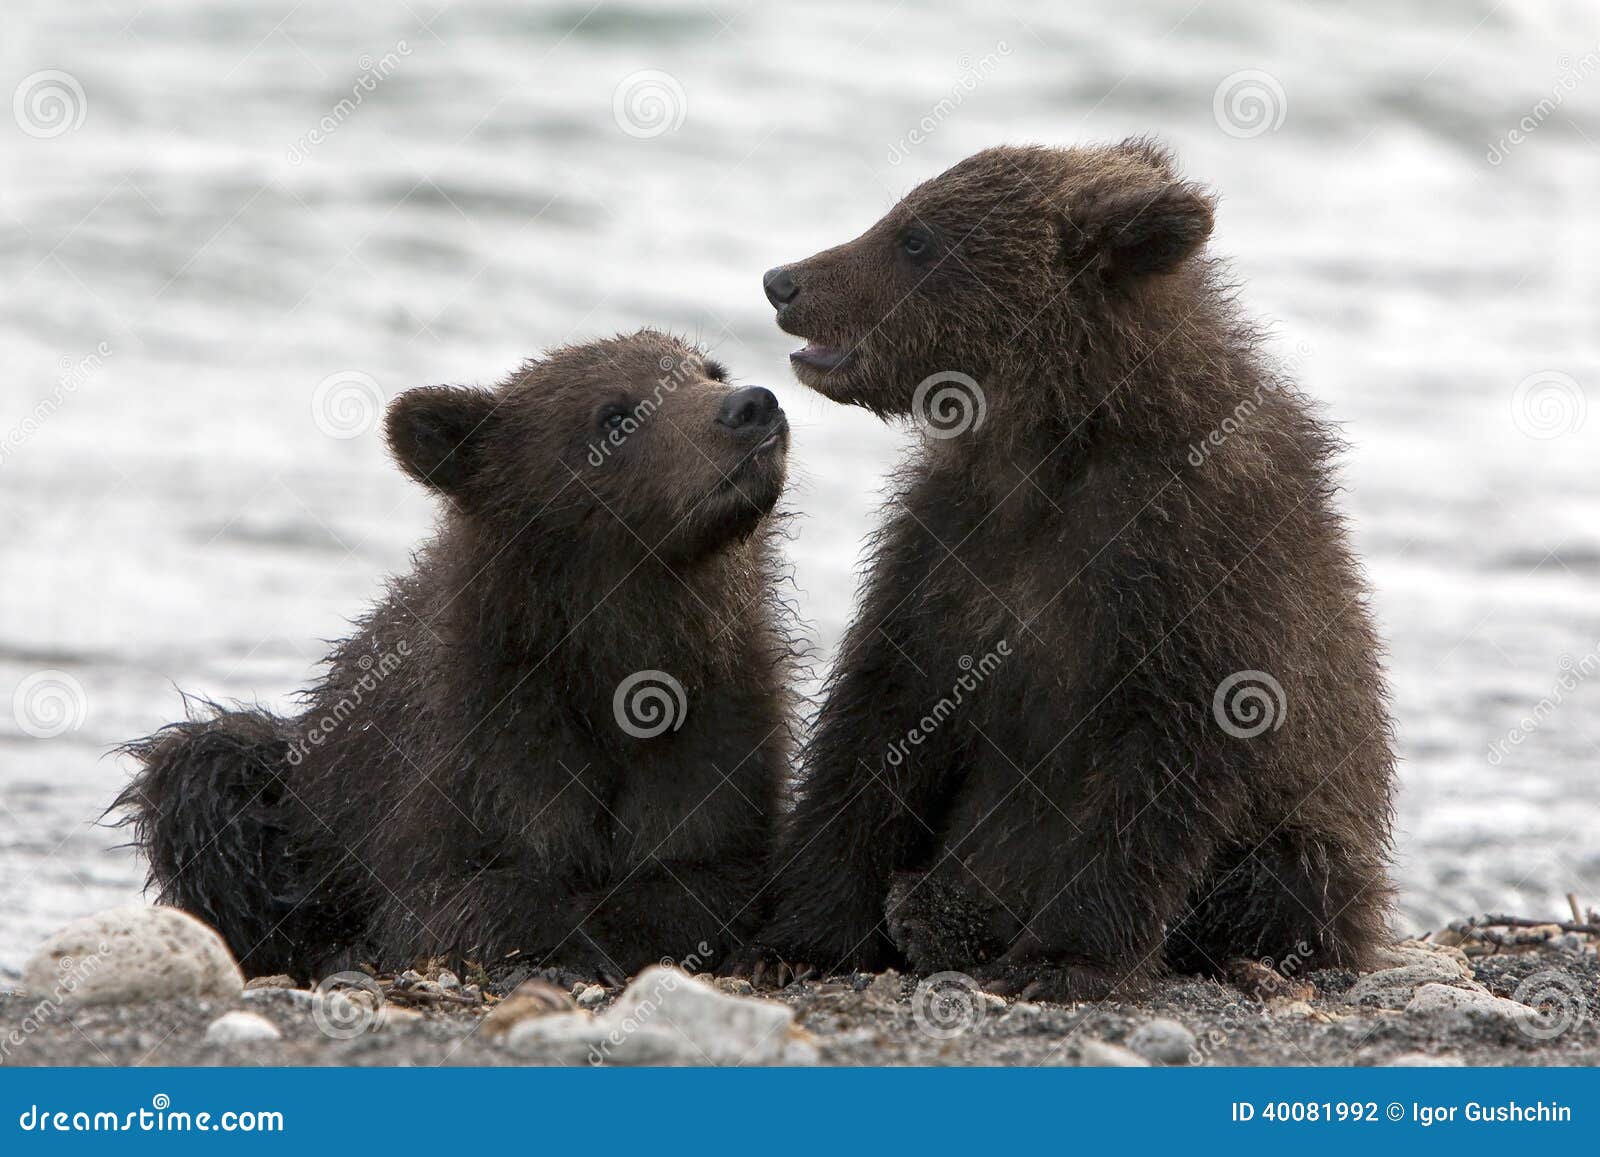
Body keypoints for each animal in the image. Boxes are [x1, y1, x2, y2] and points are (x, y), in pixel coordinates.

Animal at [115, 330, 796, 982]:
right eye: (615, 413)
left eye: (709, 371)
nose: (751, 405)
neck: (617, 649)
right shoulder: (480, 738)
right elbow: (461, 895)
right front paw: (557, 943)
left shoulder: (720, 724)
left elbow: (703, 876)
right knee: (204, 770)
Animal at [751, 140, 1396, 1001]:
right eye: (901, 215)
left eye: (917, 238)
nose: (785, 280)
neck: (1053, 445)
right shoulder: (946, 544)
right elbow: (883, 716)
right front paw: (801, 935)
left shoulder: (1199, 559)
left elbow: (1160, 767)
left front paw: (1062, 957)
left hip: (1310, 841)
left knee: (1287, 878)